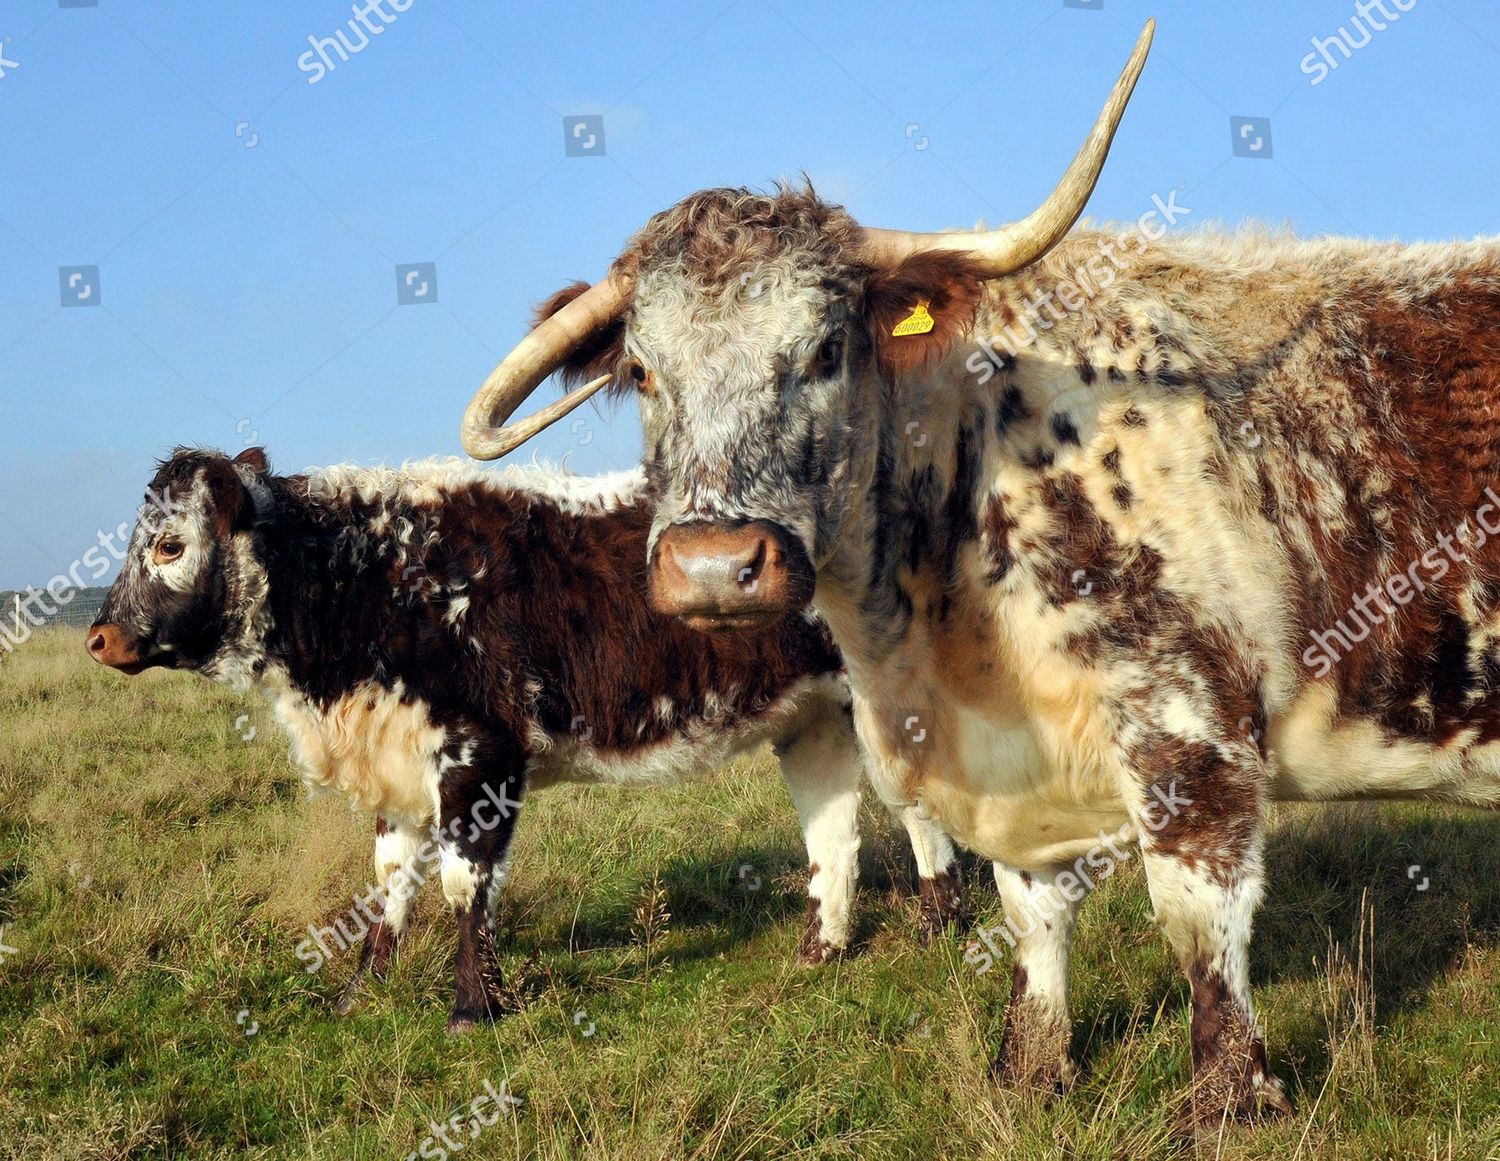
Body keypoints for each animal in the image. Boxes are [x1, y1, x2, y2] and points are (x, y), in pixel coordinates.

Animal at [86, 447, 966, 1031]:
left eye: (169, 543)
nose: (99, 637)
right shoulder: (402, 759)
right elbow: (391, 879)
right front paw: (364, 987)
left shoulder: (480, 755)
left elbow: (463, 885)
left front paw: (475, 1005)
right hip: (813, 716)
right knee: (835, 833)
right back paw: (821, 949)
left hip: (882, 704)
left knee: (916, 809)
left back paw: (939, 926)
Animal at [459, 19, 1500, 1129]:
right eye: (643, 371)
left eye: (825, 350)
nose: (713, 566)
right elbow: (1031, 914)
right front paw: (1030, 1072)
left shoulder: (1192, 735)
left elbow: (1198, 923)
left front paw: (1228, 1101)